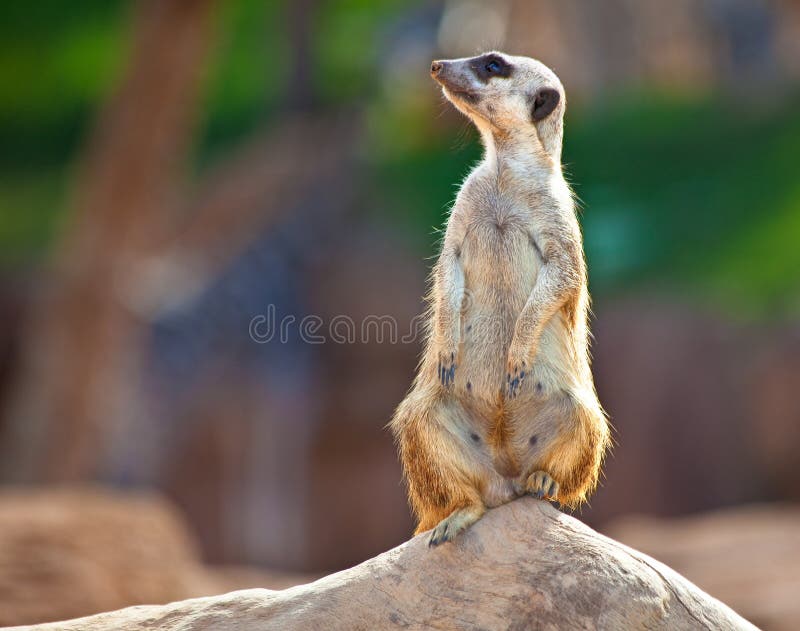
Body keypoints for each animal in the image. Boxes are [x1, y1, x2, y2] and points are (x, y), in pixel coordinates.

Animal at [390, 52, 610, 546]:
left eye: (493, 65)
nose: (436, 64)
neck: (506, 171)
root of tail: (504, 477)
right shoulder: (465, 201)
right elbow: (448, 263)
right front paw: (446, 342)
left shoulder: (559, 216)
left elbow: (564, 273)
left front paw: (518, 350)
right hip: (432, 412)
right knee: (421, 428)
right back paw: (460, 510)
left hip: (575, 412)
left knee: (584, 428)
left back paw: (544, 479)